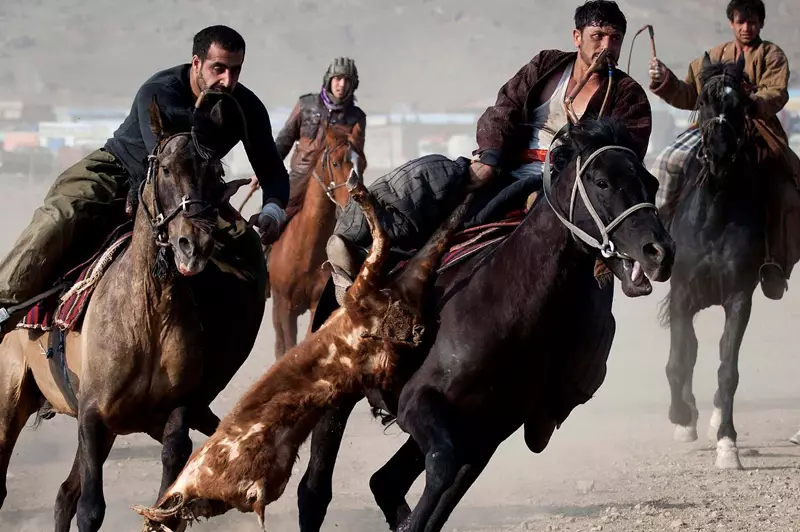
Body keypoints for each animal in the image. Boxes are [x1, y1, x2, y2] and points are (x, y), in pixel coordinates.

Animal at [0, 96, 268, 532]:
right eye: (166, 168)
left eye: (216, 172)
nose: (193, 244)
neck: (146, 317)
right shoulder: (92, 416)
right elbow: (91, 510)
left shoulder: (169, 413)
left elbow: (170, 485)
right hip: (12, 397)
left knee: (64, 494)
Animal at [268, 124, 368, 358]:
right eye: (335, 163)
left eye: (363, 164)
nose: (355, 201)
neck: (304, 253)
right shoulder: (285, 306)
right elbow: (288, 347)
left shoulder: (316, 303)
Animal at [294, 117, 676, 532]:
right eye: (602, 182)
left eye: (651, 182)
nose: (659, 252)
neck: (507, 313)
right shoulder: (418, 403)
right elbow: (440, 468)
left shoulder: (486, 432)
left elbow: (440, 497)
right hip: (338, 393)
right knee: (314, 491)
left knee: (385, 482)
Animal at [656, 53, 768, 470]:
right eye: (703, 100)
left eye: (741, 103)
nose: (719, 152)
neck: (714, 215)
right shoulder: (682, 294)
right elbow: (678, 361)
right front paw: (681, 416)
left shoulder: (739, 298)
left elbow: (727, 369)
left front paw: (727, 444)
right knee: (687, 351)